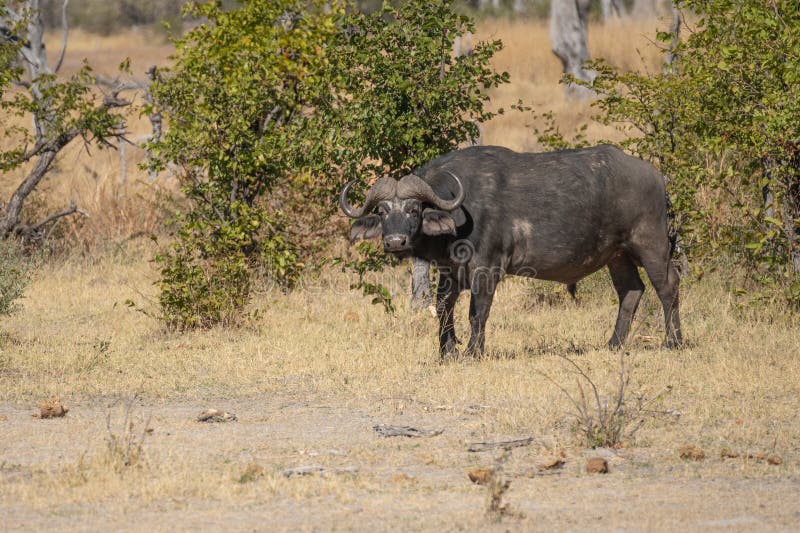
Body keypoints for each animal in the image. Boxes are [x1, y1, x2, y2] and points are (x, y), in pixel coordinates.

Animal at [340, 145, 682, 358]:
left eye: (413, 209)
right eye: (382, 211)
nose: (395, 241)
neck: (461, 211)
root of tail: (657, 176)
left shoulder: (487, 269)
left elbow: (477, 313)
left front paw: (472, 352)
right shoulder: (450, 270)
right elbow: (443, 308)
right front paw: (446, 351)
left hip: (650, 242)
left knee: (668, 285)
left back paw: (673, 341)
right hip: (617, 255)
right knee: (631, 292)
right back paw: (613, 344)